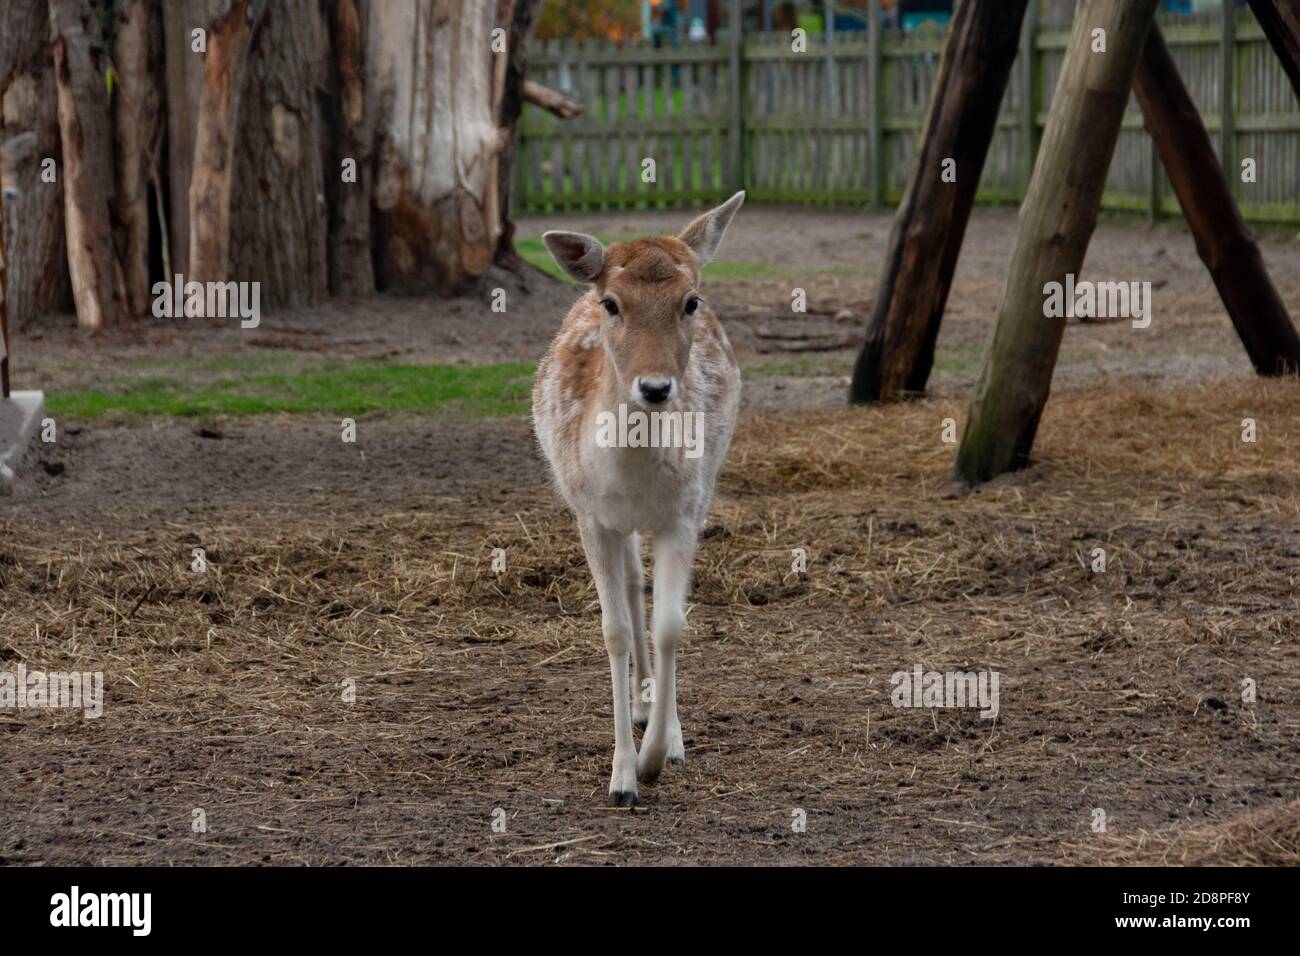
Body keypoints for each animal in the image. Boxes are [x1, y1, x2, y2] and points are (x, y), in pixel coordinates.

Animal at [532, 192, 745, 806]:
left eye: (690, 301)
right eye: (611, 303)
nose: (655, 388)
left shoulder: (684, 513)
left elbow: (670, 624)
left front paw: (660, 752)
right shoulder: (590, 515)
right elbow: (615, 630)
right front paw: (622, 777)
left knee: (645, 596)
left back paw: (659, 719)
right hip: (616, 522)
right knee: (630, 589)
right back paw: (642, 704)